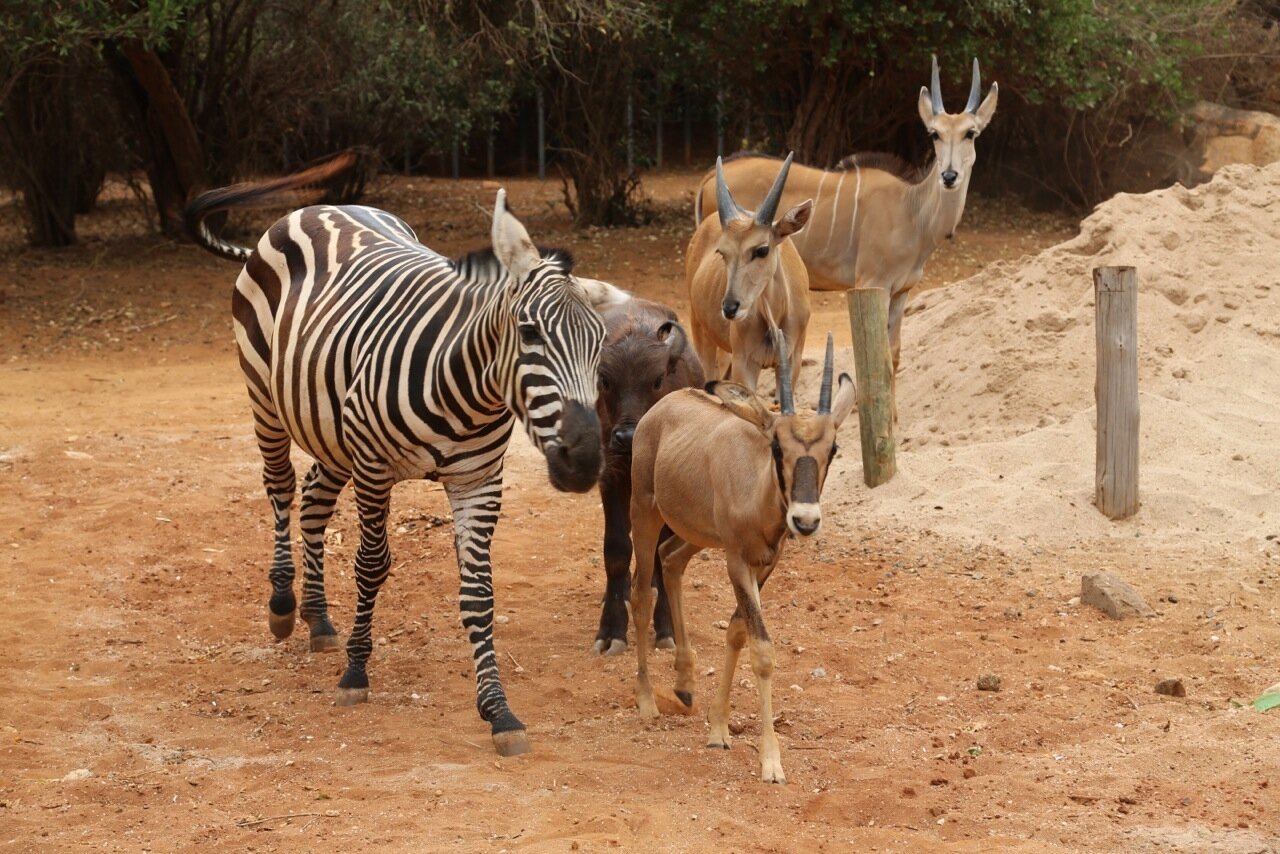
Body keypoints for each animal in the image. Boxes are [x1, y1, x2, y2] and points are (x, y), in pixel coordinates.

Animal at [184, 158, 626, 756]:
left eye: (600, 341)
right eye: (529, 332)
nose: (581, 461)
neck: (466, 389)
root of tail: (319, 207)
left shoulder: (479, 481)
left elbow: (479, 593)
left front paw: (499, 710)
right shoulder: (374, 468)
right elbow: (372, 565)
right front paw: (355, 673)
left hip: (331, 428)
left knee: (314, 500)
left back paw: (319, 619)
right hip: (265, 398)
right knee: (280, 487)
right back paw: (283, 605)